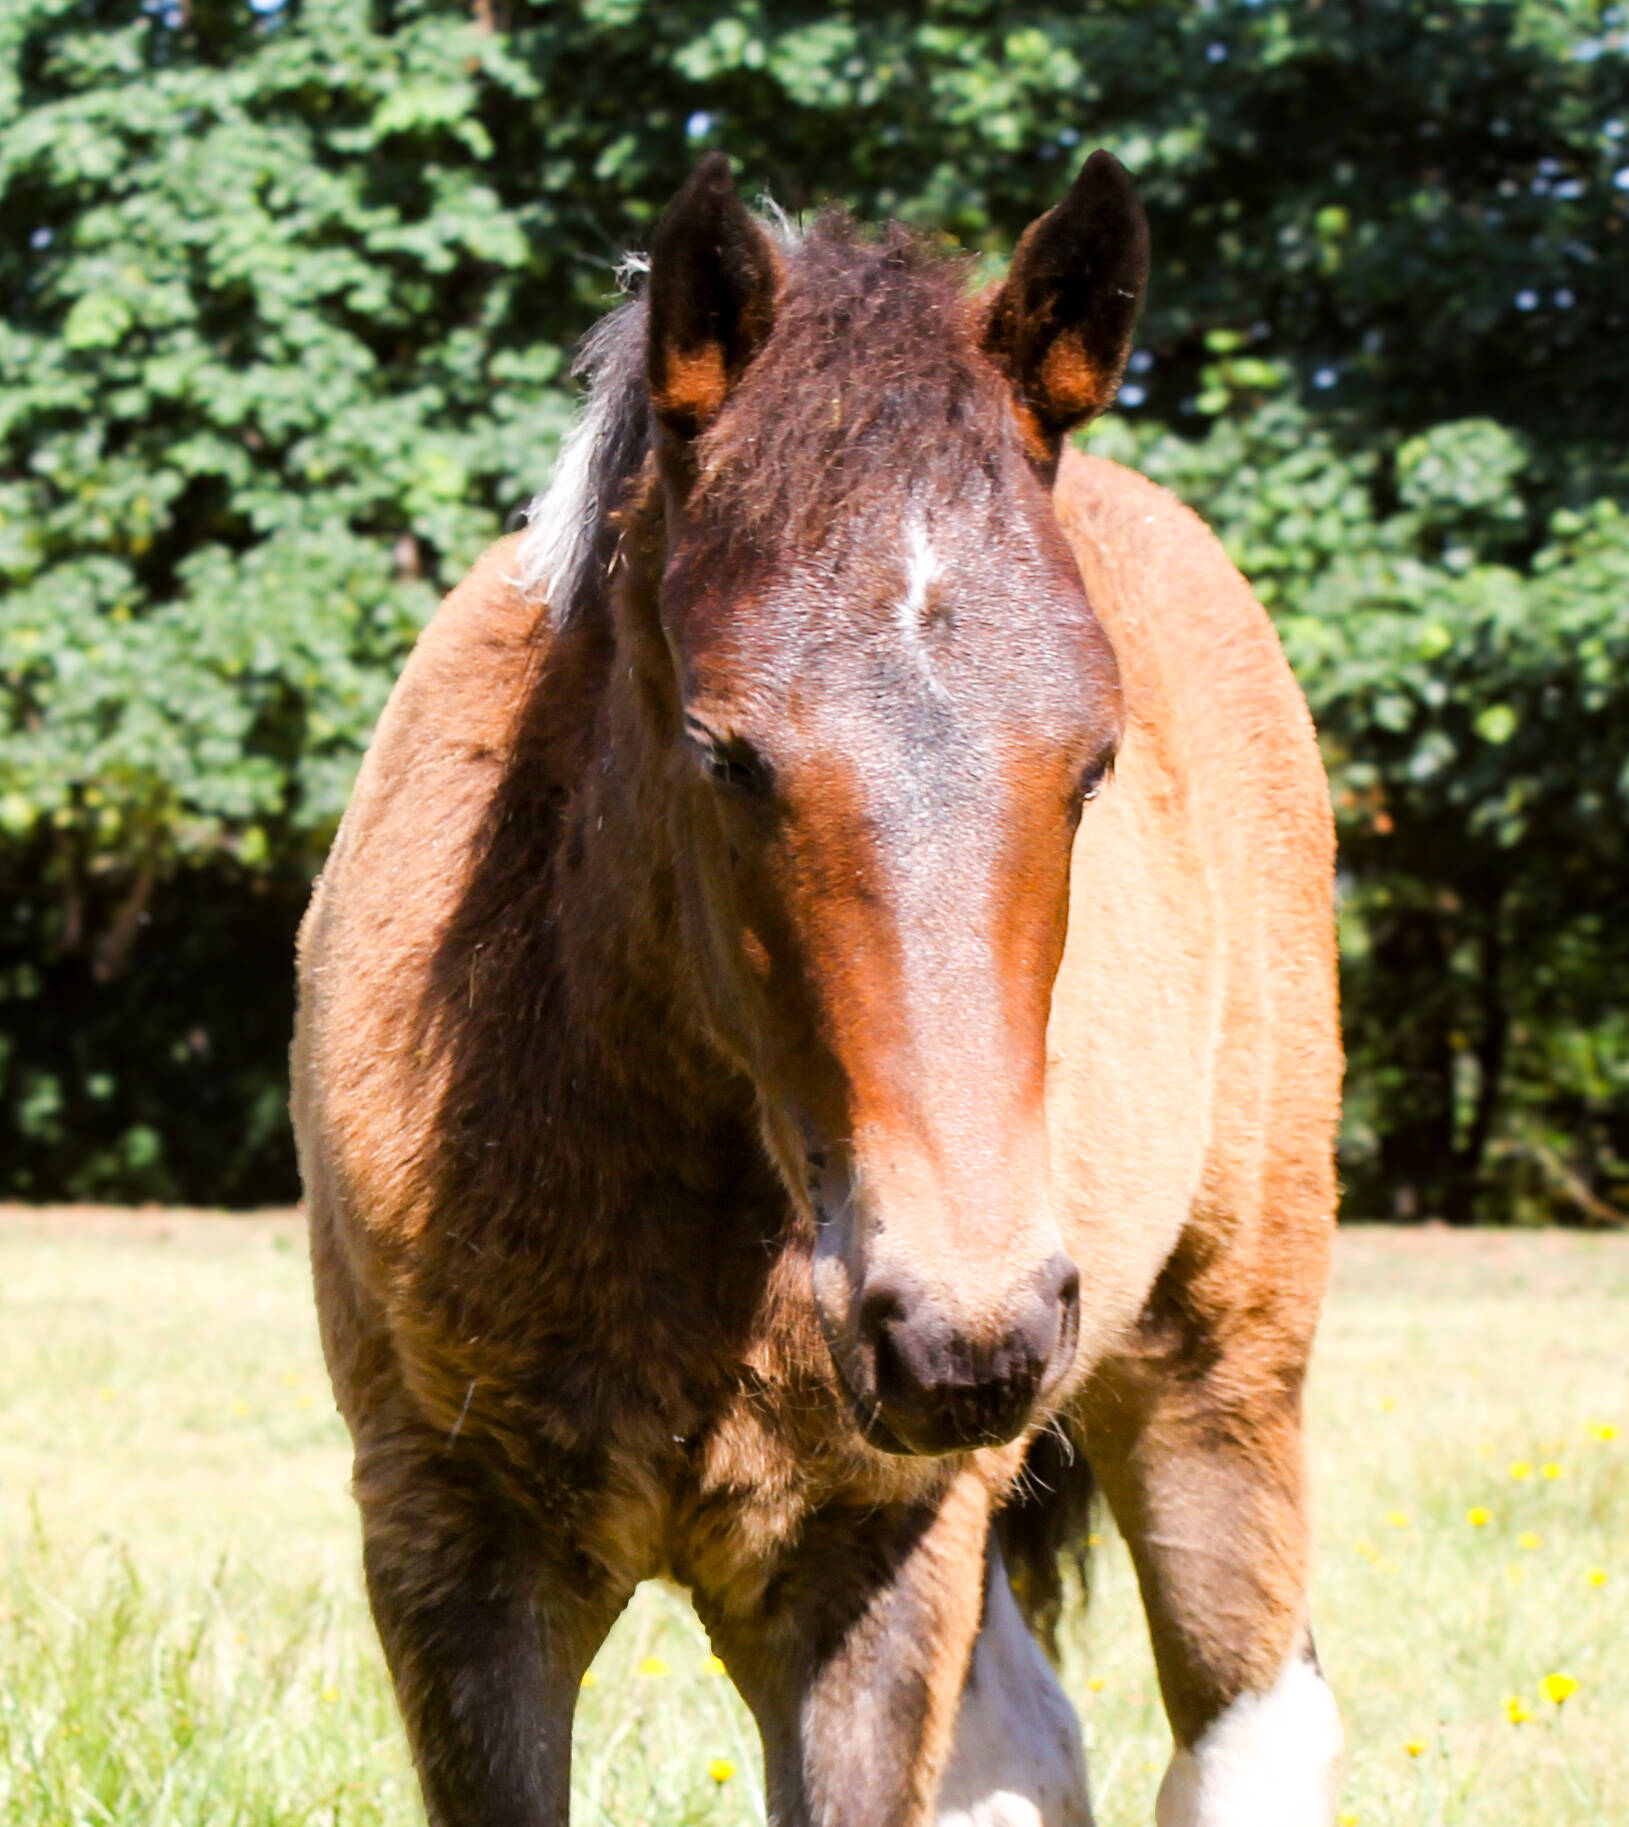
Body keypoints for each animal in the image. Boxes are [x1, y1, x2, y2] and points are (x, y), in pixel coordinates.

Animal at [292, 149, 1344, 1827]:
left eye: (1095, 762)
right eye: (725, 754)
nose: (965, 1327)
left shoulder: (870, 1558)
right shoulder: (453, 1542)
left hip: (1211, 1368)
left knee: (1245, 1711)